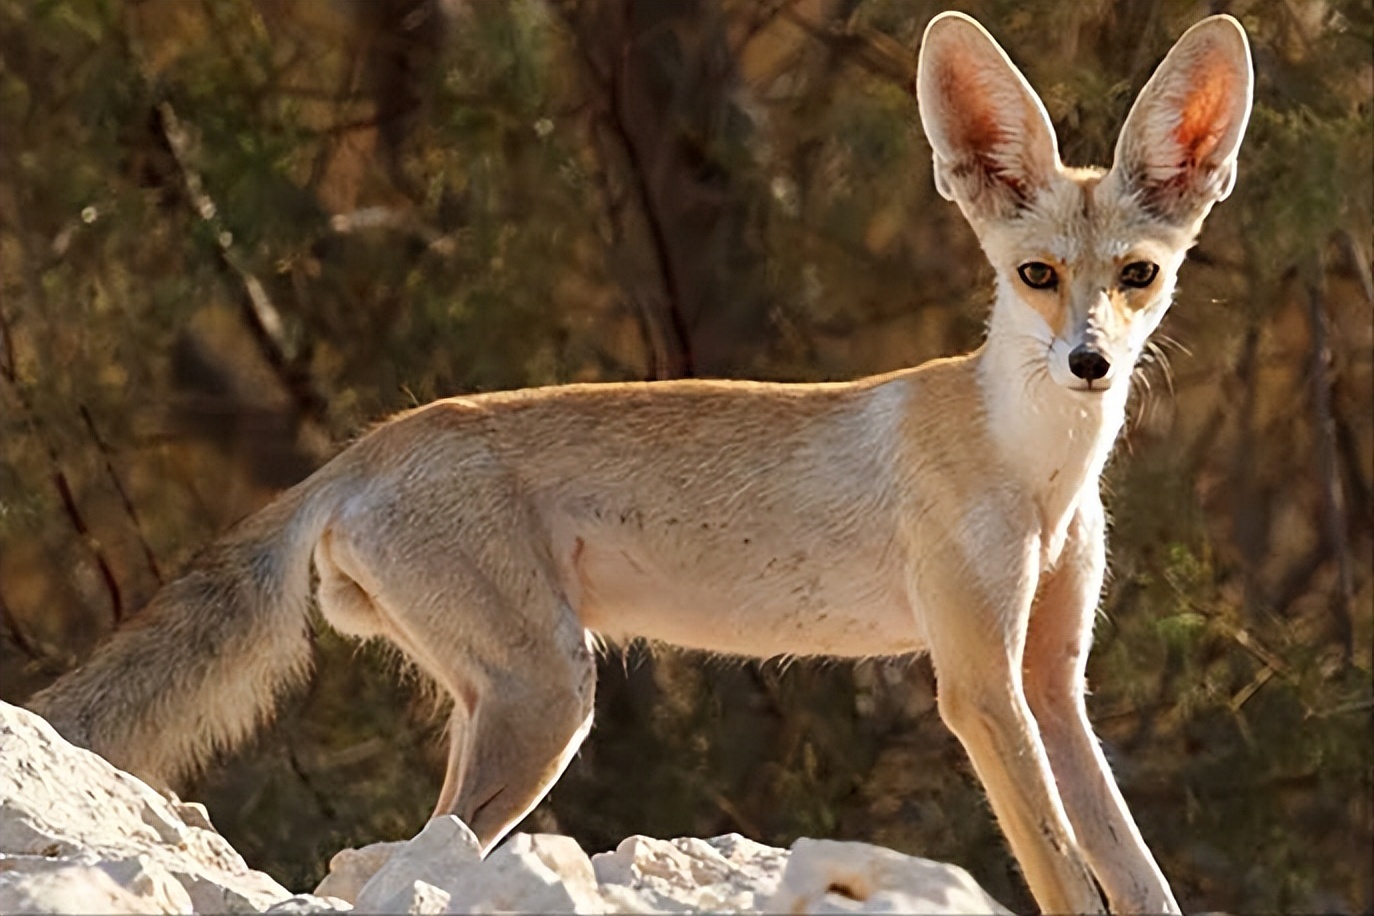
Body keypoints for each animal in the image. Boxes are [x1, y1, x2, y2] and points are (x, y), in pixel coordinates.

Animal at [28, 11, 1253, 915]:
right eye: (1037, 275)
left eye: (1137, 276)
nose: (1091, 361)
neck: (1038, 475)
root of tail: (368, 442)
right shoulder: (977, 684)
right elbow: (1065, 873)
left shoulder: (1051, 681)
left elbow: (1135, 875)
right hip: (548, 697)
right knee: (397, 870)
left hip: (511, 704)